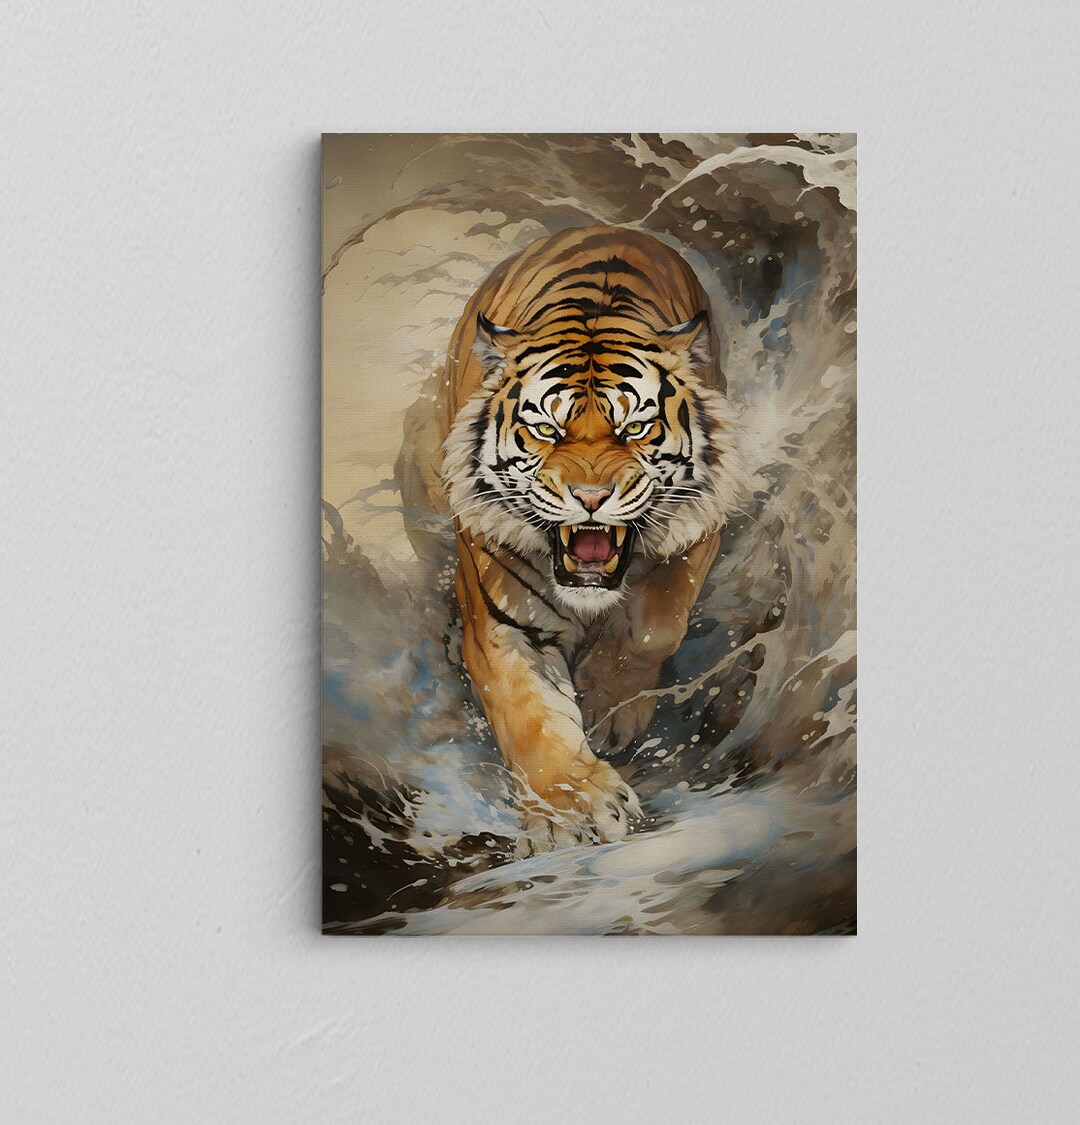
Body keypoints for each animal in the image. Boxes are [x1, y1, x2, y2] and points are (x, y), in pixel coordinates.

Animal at [399, 225, 746, 851]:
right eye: (544, 429)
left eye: (635, 427)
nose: (589, 496)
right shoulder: (502, 617)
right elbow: (527, 708)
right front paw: (573, 809)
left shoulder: (701, 529)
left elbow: (656, 626)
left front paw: (609, 705)